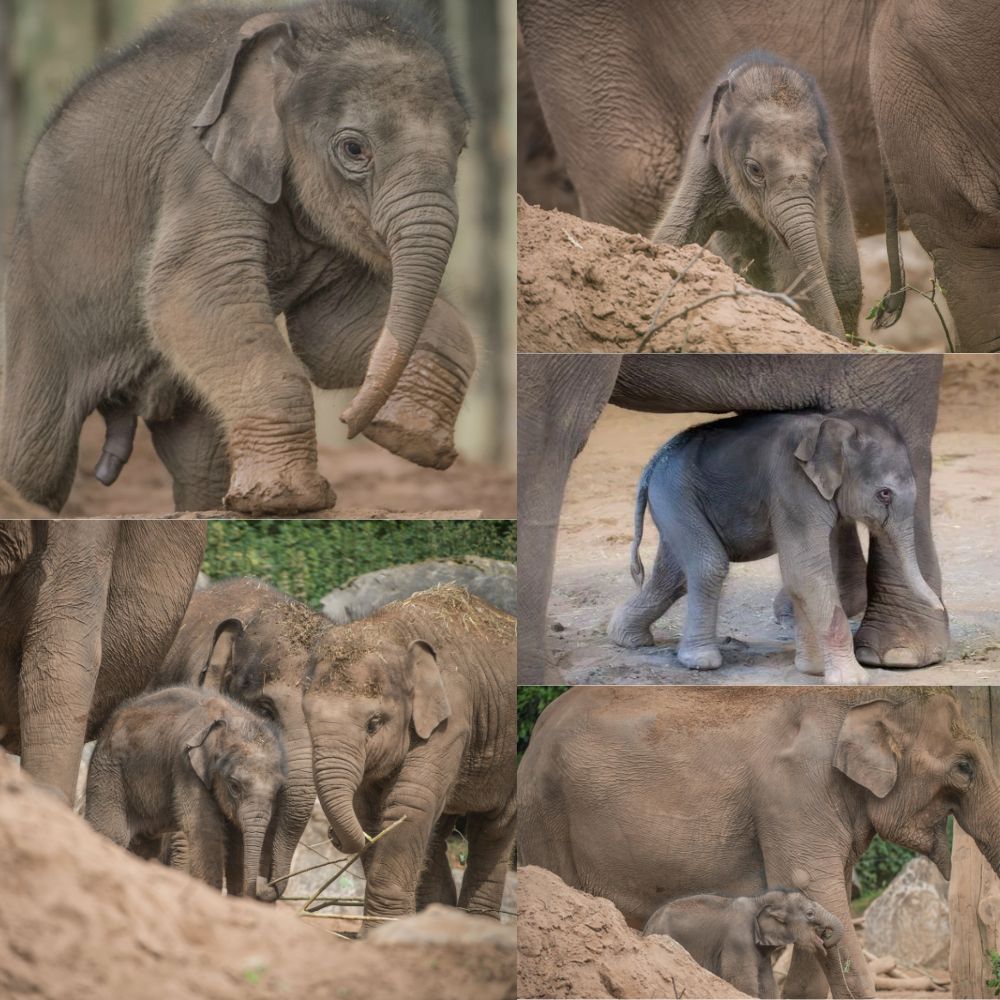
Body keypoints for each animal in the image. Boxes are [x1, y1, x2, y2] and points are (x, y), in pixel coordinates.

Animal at [0, 1, 474, 515]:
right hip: (35, 296)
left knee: (197, 460)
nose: (350, 422)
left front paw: (410, 436)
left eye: (462, 146)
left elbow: (328, 332)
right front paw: (289, 500)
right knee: (33, 456)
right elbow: (187, 292)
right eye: (354, 149)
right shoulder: (196, 161)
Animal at [86, 686, 286, 898]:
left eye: (278, 790)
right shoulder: (185, 765)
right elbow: (204, 829)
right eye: (234, 786)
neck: (230, 719)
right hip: (108, 770)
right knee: (111, 834)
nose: (265, 884)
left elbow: (237, 838)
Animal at [303, 585, 516, 919]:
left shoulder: (452, 720)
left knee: (494, 828)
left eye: (374, 723)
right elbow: (369, 810)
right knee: (437, 834)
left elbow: (408, 805)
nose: (331, 836)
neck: (395, 632)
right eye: (306, 718)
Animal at [608, 410, 942, 684]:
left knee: (674, 575)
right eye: (884, 494)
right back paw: (701, 661)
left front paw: (813, 670)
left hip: (673, 500)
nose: (940, 605)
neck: (833, 423)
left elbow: (805, 574)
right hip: (675, 494)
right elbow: (806, 571)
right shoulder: (794, 488)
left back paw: (628, 639)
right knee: (707, 565)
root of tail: (653, 462)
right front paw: (851, 680)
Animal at [643, 890, 844, 1000]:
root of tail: (646, 928)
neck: (759, 900)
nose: (825, 935)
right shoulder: (737, 940)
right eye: (810, 914)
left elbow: (768, 986)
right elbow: (742, 983)